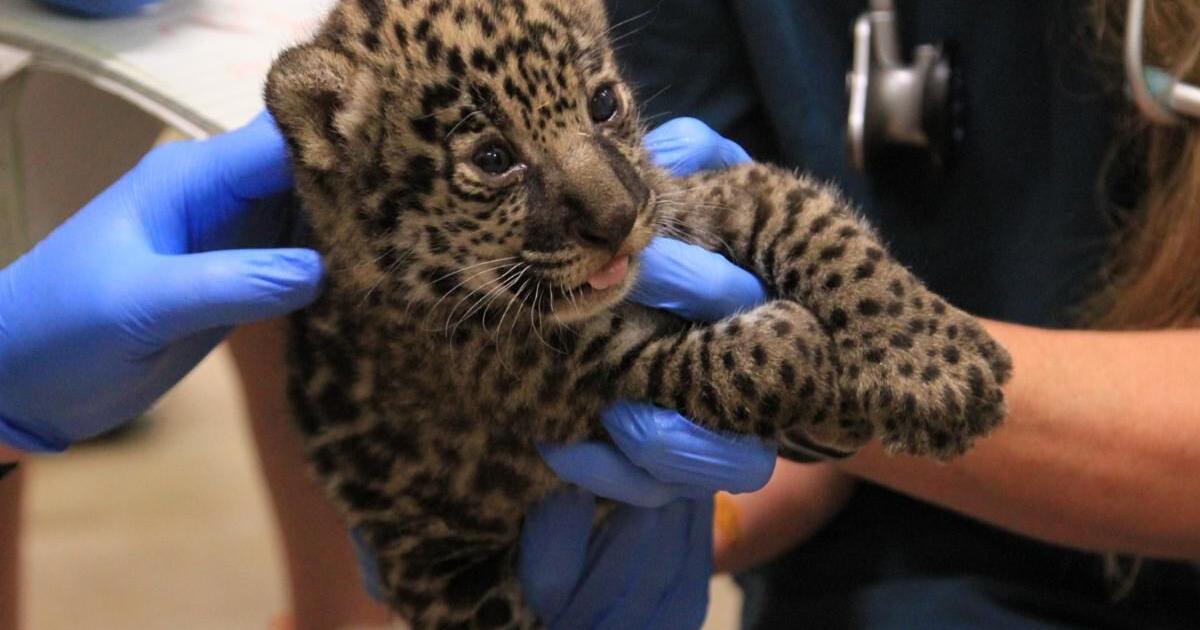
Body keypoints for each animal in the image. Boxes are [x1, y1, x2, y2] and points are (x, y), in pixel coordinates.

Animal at [263, 0, 1013, 627]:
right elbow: (748, 364)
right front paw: (803, 346)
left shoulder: (707, 190)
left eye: (602, 104)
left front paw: (936, 369)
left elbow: (823, 232)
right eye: (494, 159)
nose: (618, 221)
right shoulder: (563, 387)